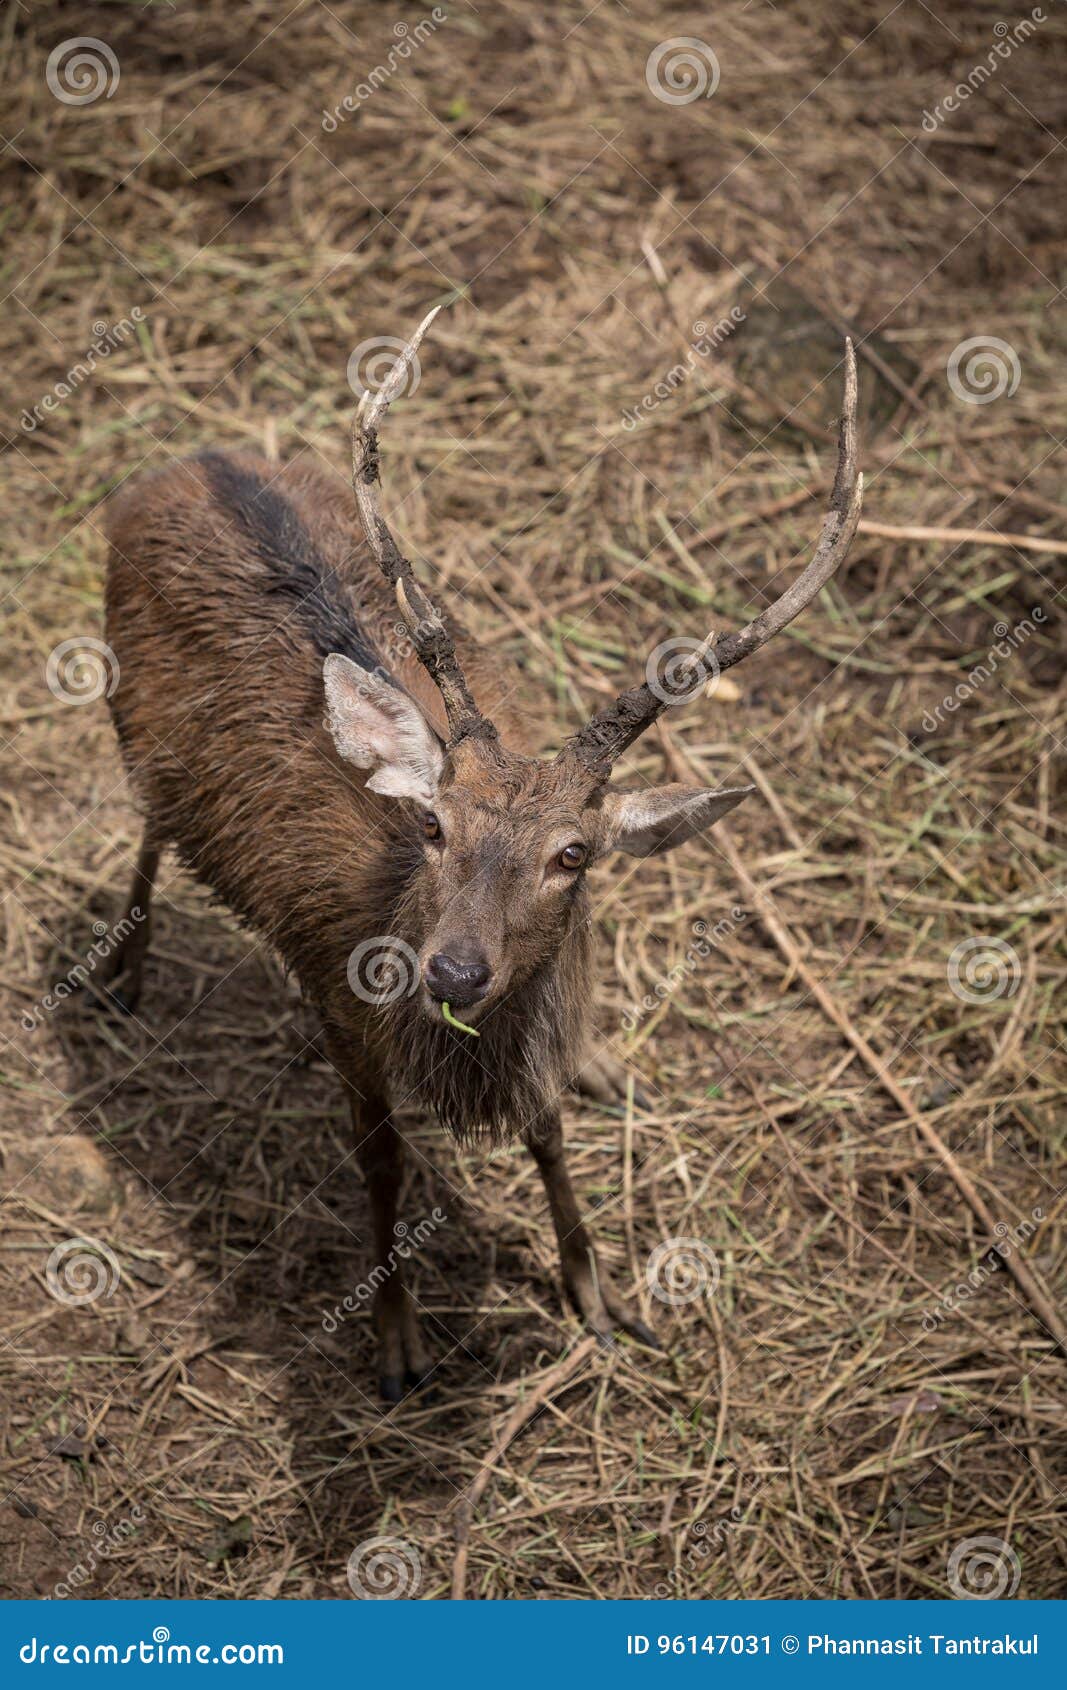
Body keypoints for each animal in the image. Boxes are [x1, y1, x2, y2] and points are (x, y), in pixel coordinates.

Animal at [101, 308, 861, 1400]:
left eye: (573, 854)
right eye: (434, 826)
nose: (453, 970)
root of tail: (180, 466)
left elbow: (546, 1129)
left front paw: (600, 1299)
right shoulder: (334, 1001)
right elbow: (378, 1162)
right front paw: (395, 1340)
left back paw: (602, 1062)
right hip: (126, 719)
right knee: (152, 825)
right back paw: (123, 972)